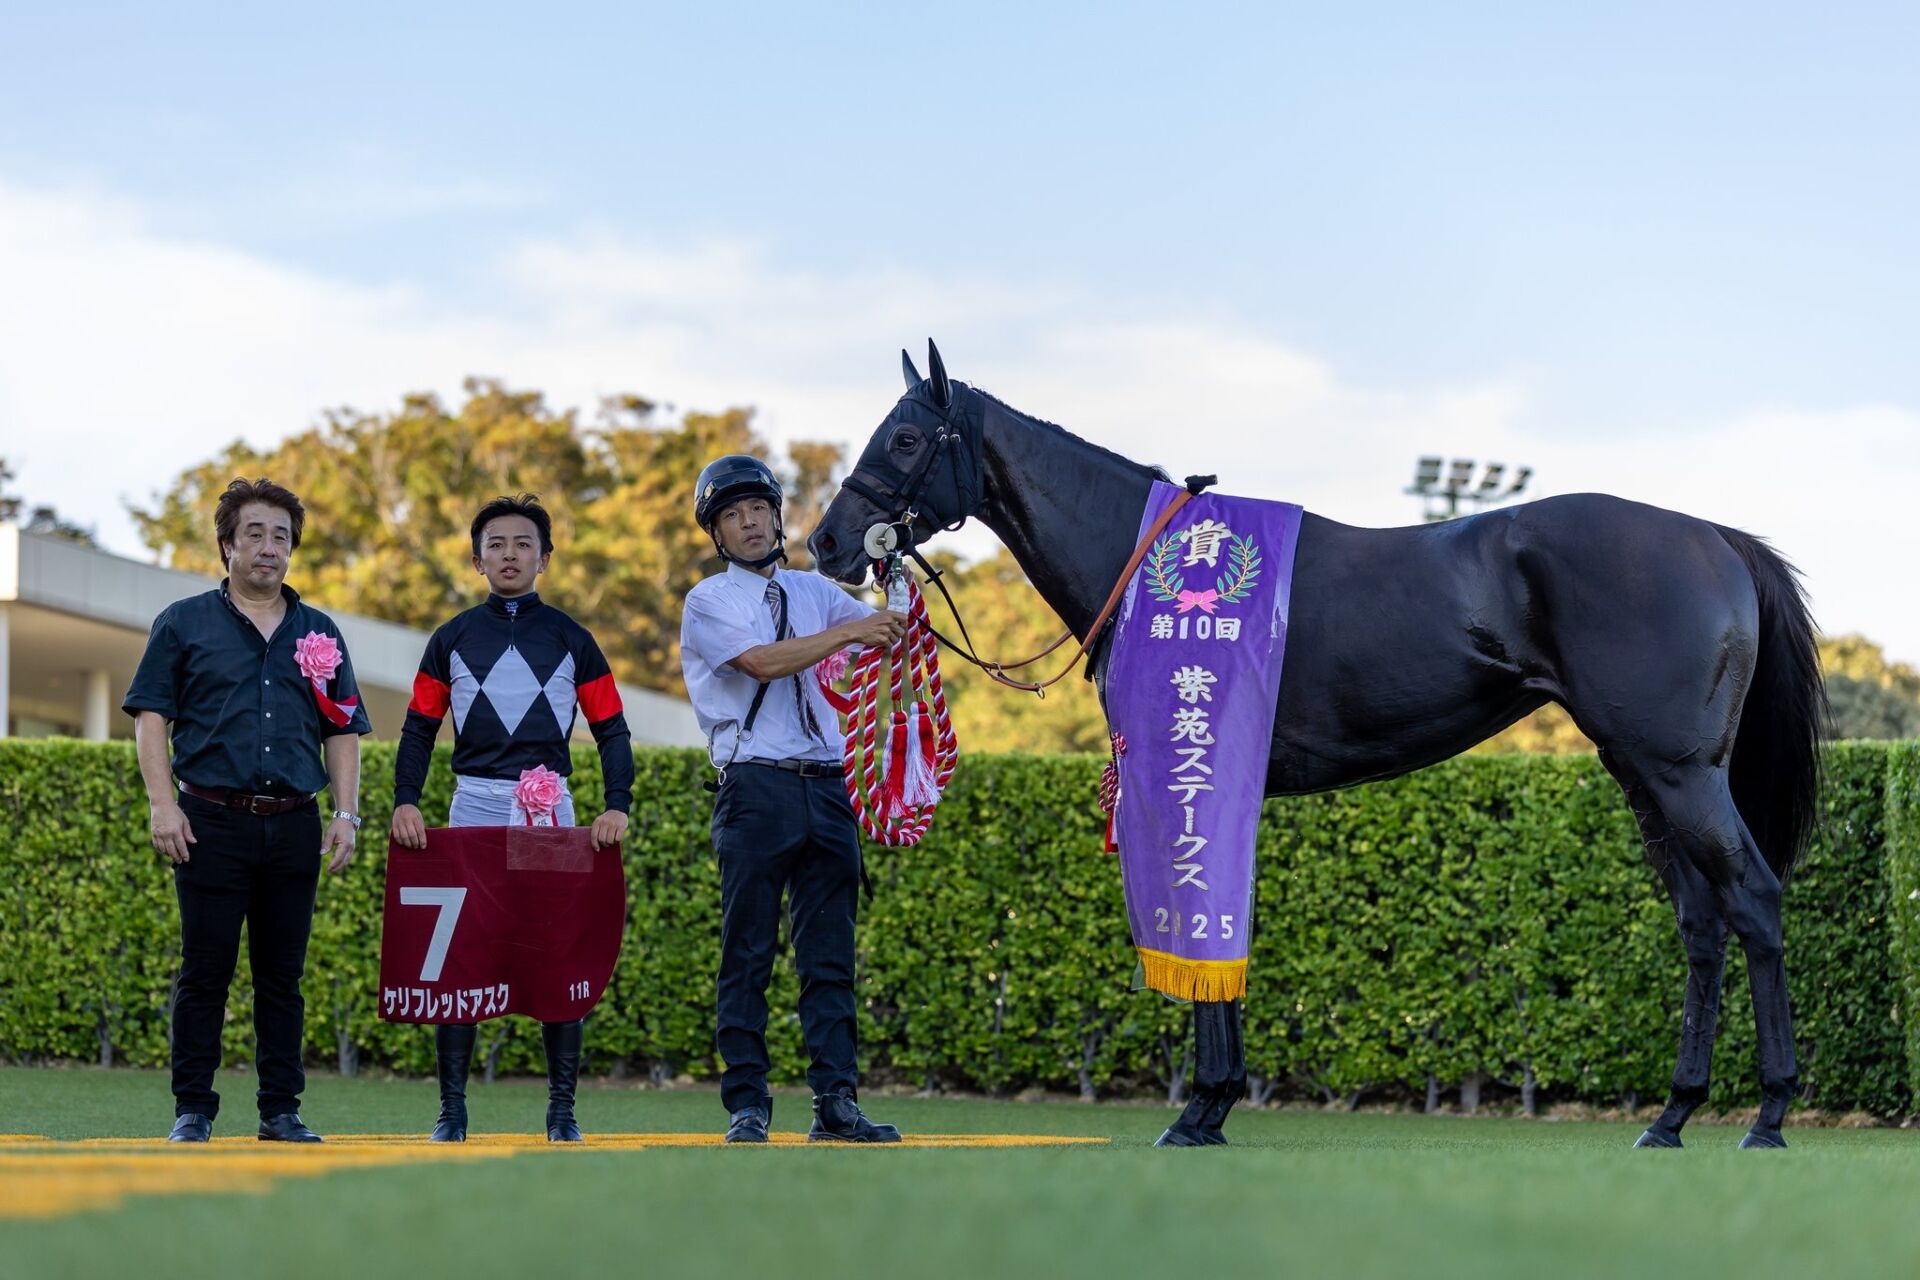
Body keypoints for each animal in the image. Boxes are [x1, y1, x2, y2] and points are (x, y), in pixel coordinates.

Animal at [808, 340, 1826, 1150]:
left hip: (1680, 774)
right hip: (1643, 776)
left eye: (906, 439)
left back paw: (1769, 1116)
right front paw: (1214, 1106)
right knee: (1701, 922)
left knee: (1753, 900)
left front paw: (1198, 1111)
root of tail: (1716, 538)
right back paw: (1673, 1116)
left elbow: (1204, 925)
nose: (826, 543)